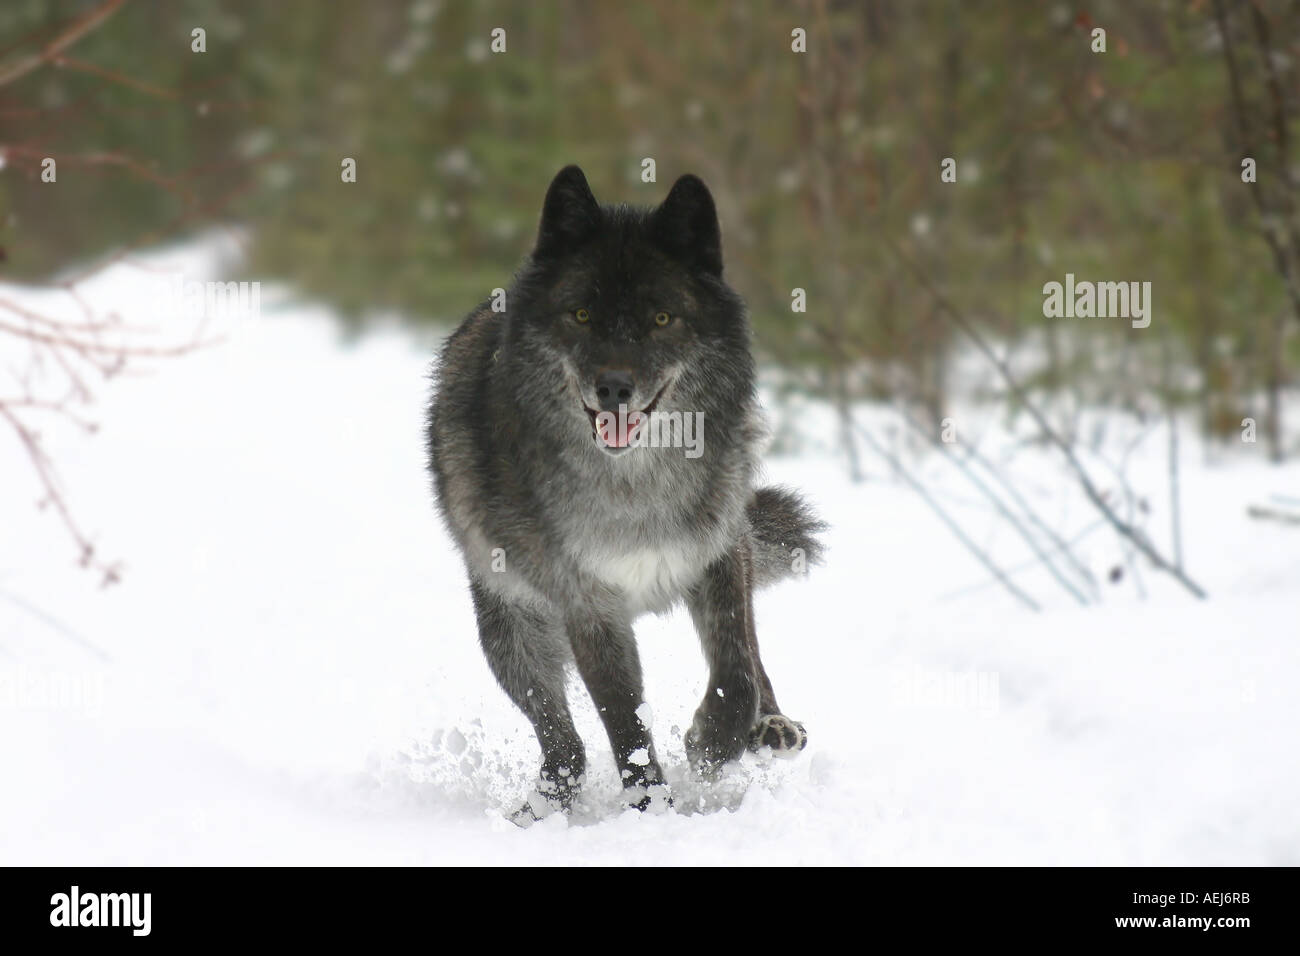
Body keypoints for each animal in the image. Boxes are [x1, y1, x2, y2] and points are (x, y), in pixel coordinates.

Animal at [427, 166, 825, 819]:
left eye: (662, 319)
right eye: (582, 314)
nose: (614, 387)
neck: (635, 485)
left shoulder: (717, 555)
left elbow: (737, 672)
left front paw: (711, 745)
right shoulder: (590, 606)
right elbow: (625, 724)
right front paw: (654, 811)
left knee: (753, 661)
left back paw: (771, 725)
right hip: (512, 631)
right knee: (562, 744)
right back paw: (542, 808)